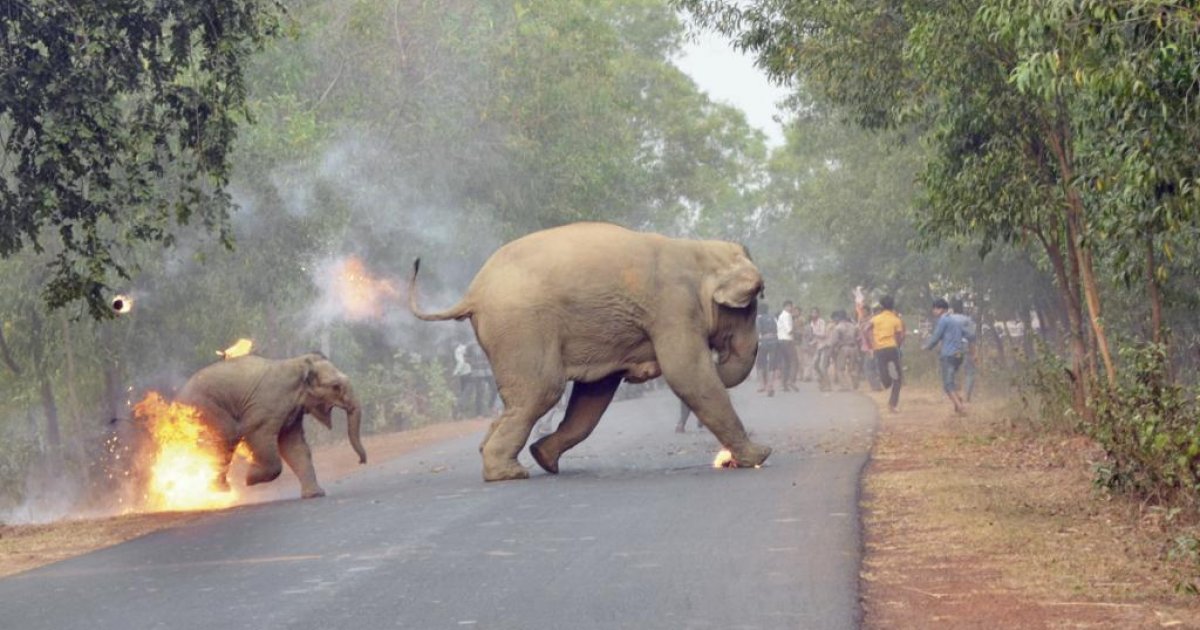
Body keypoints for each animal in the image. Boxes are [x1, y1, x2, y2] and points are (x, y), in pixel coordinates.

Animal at [175, 352, 367, 498]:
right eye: (336, 387)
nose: (361, 461)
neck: (299, 363)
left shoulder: (292, 413)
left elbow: (294, 446)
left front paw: (315, 495)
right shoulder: (266, 406)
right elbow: (258, 435)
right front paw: (249, 479)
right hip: (205, 407)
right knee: (227, 436)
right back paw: (220, 491)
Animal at [408, 222, 772, 481]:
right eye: (751, 306)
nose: (721, 357)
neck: (698, 250)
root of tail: (473, 293)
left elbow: (594, 395)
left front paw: (544, 456)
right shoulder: (674, 307)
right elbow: (688, 374)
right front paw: (760, 456)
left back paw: (514, 458)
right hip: (521, 327)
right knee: (543, 391)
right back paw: (508, 474)